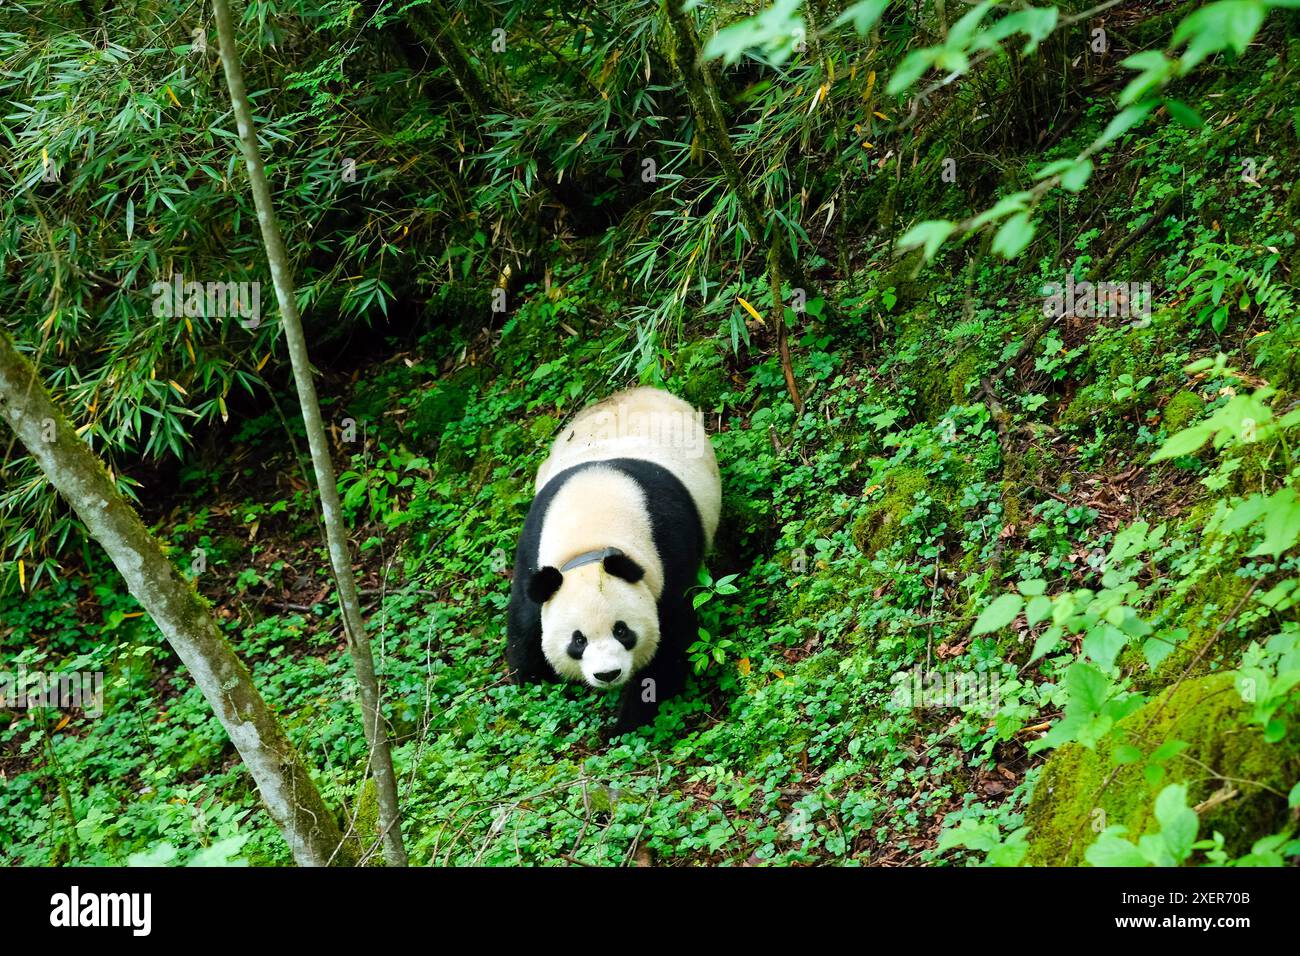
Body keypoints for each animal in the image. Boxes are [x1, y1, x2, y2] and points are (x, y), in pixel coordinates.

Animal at [507, 386, 721, 733]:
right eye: (578, 640)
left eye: (622, 631)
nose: (607, 674)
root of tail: (643, 390)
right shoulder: (534, 547)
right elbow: (525, 623)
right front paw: (533, 687)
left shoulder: (667, 553)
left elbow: (671, 642)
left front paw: (625, 725)